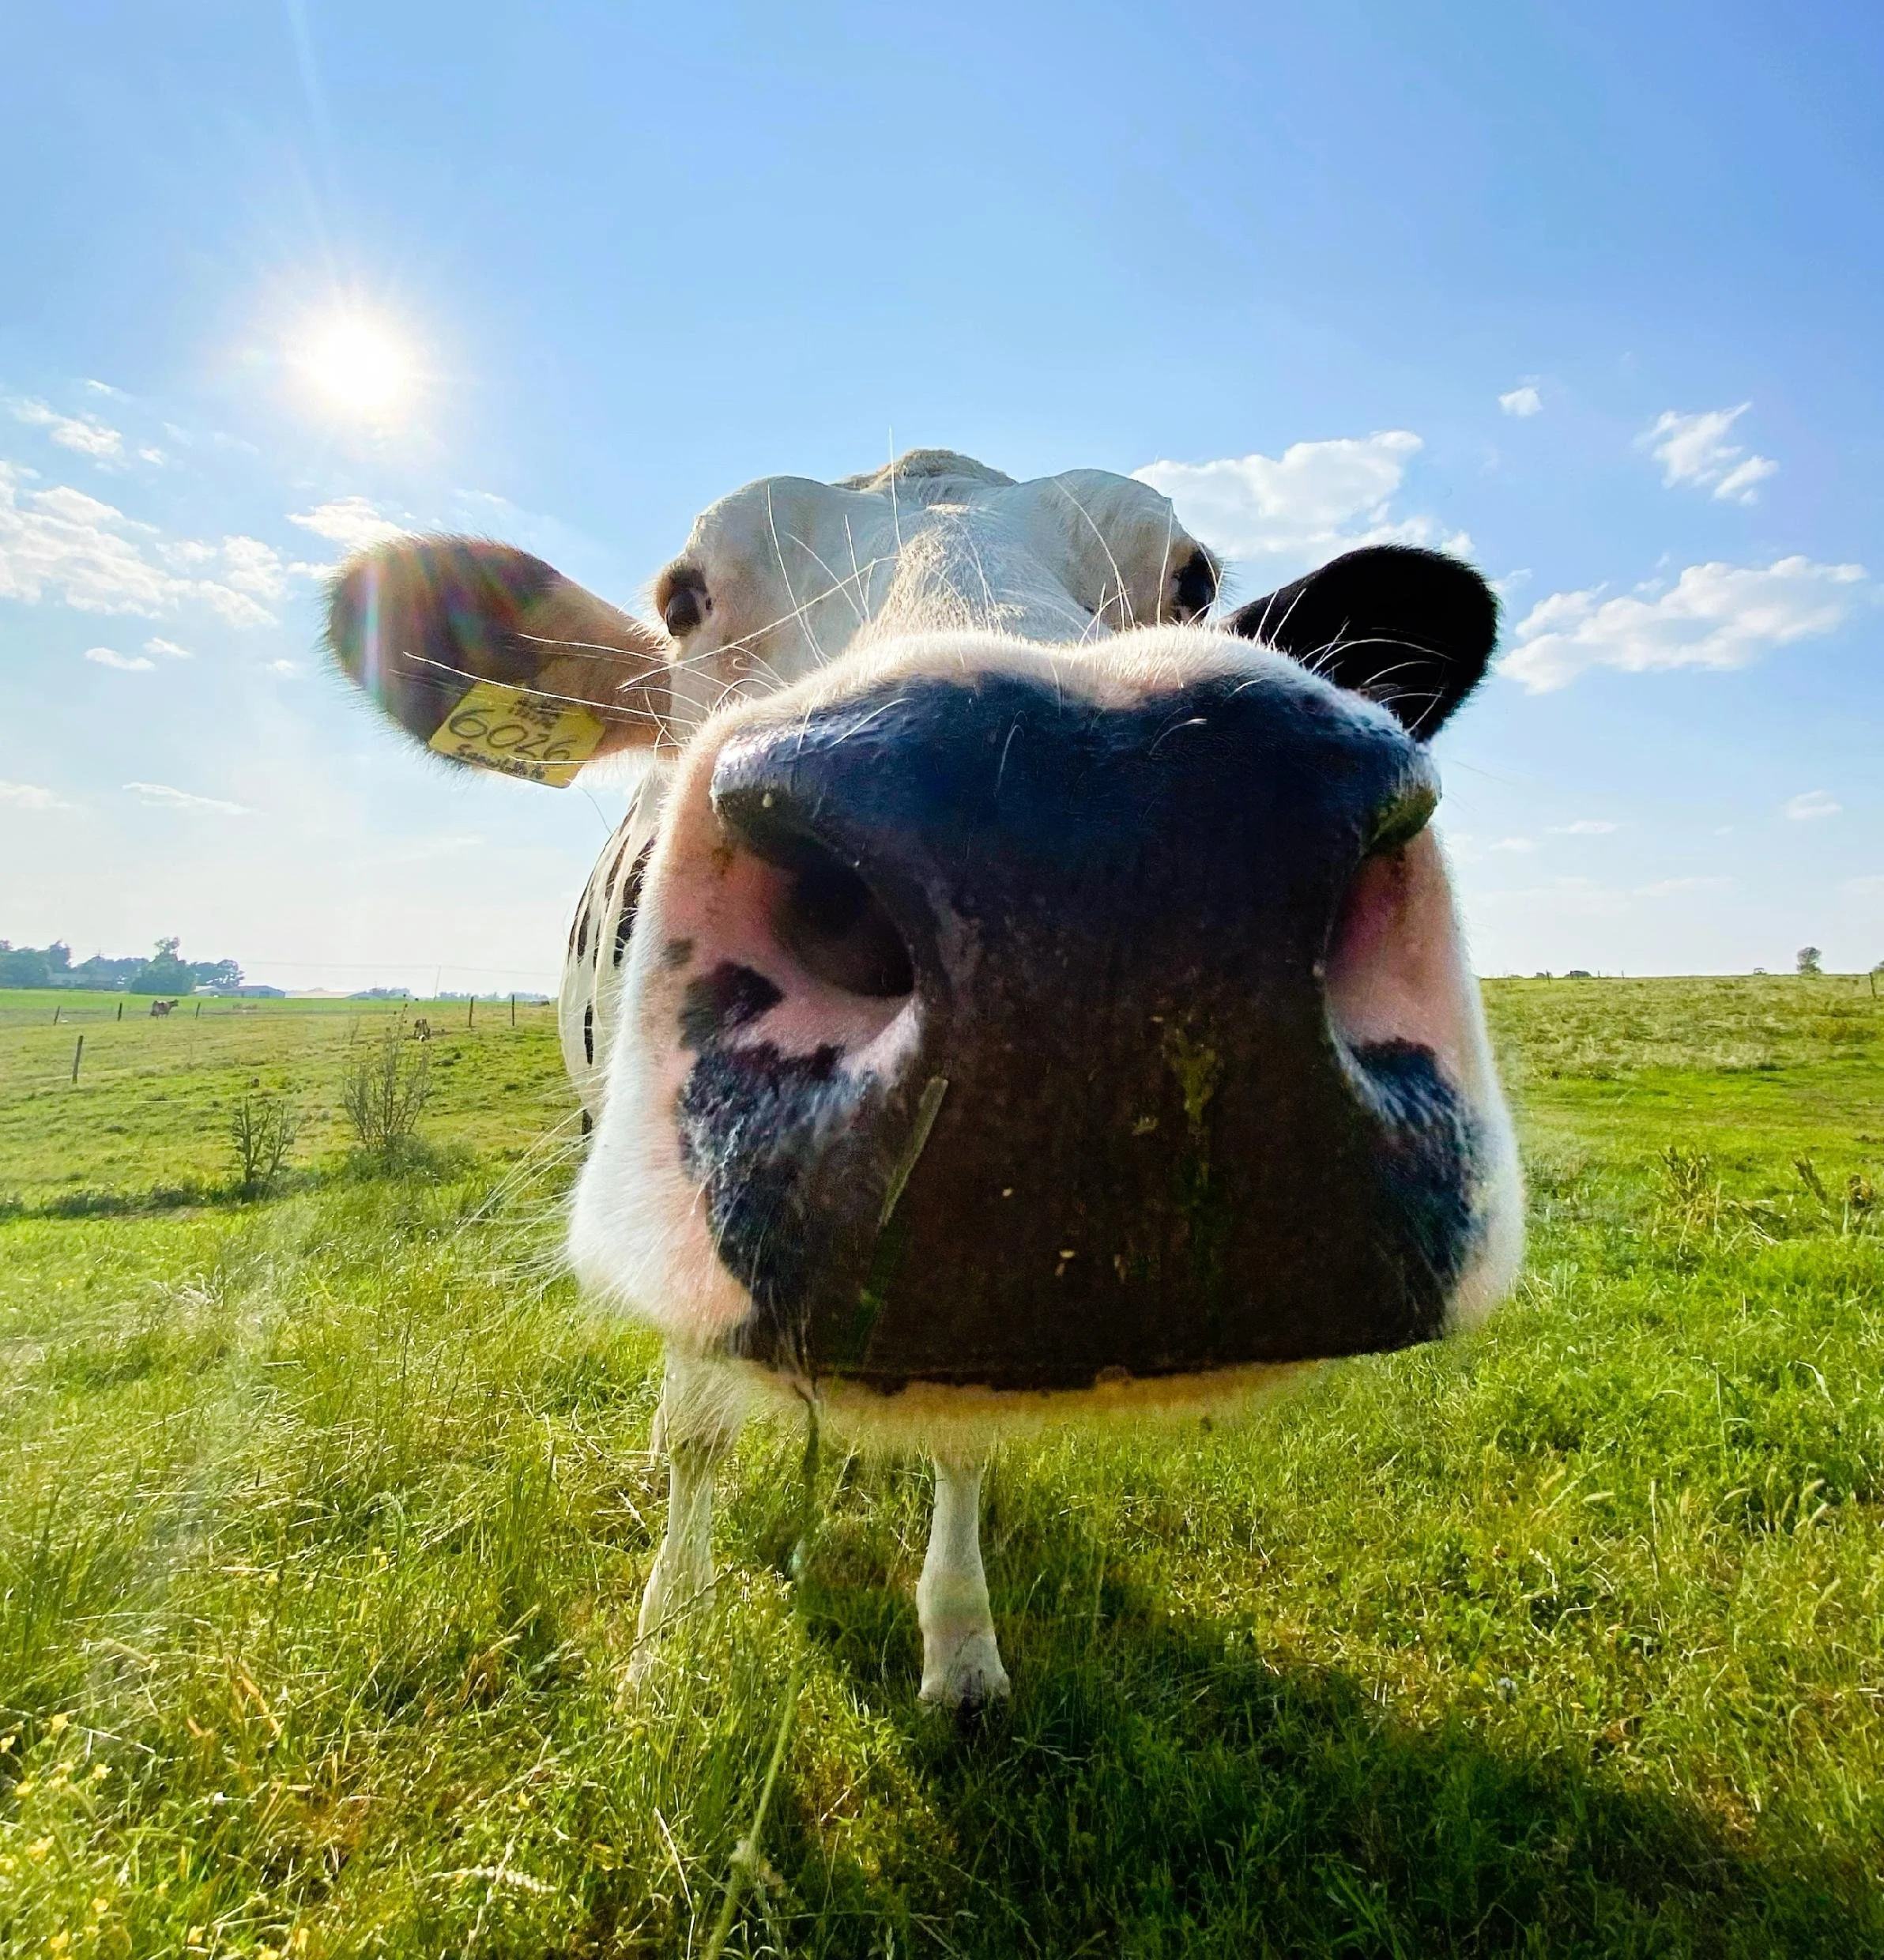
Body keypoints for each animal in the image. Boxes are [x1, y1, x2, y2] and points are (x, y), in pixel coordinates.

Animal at [325, 450, 1523, 1708]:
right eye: (684, 598)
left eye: (1191, 579)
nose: (1101, 867)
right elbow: (699, 1431)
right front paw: (665, 1645)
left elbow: (962, 1449)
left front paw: (959, 1648)